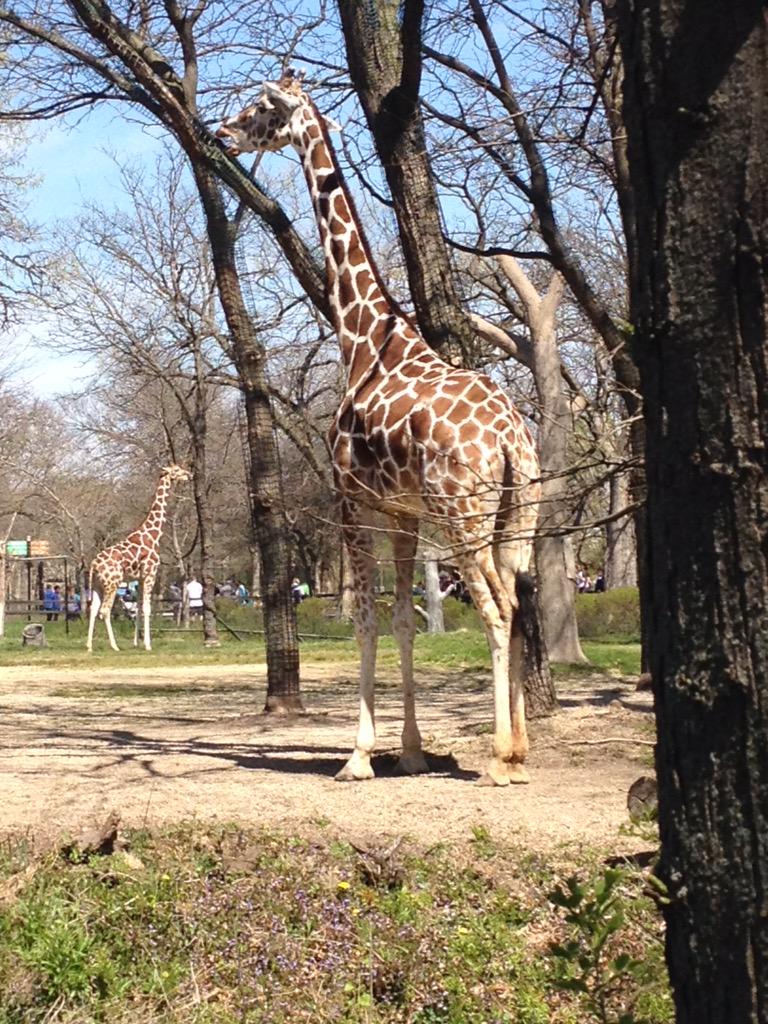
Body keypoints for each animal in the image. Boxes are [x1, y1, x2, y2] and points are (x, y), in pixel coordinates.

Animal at [86, 464, 191, 653]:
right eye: (176, 470)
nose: (189, 475)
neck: (153, 534)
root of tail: (94, 565)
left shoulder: (140, 578)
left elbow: (140, 608)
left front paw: (137, 642)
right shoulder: (151, 574)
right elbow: (147, 608)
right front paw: (148, 645)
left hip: (98, 584)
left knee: (93, 609)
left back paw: (89, 646)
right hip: (112, 583)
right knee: (104, 611)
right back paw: (114, 646)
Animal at [217, 74, 540, 786]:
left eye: (262, 107)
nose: (222, 133)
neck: (362, 341)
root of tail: (510, 438)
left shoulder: (350, 500)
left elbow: (365, 618)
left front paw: (359, 756)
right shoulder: (402, 512)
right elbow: (401, 621)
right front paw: (412, 751)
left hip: (465, 516)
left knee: (497, 610)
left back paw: (500, 759)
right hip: (517, 516)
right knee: (520, 603)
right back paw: (521, 752)